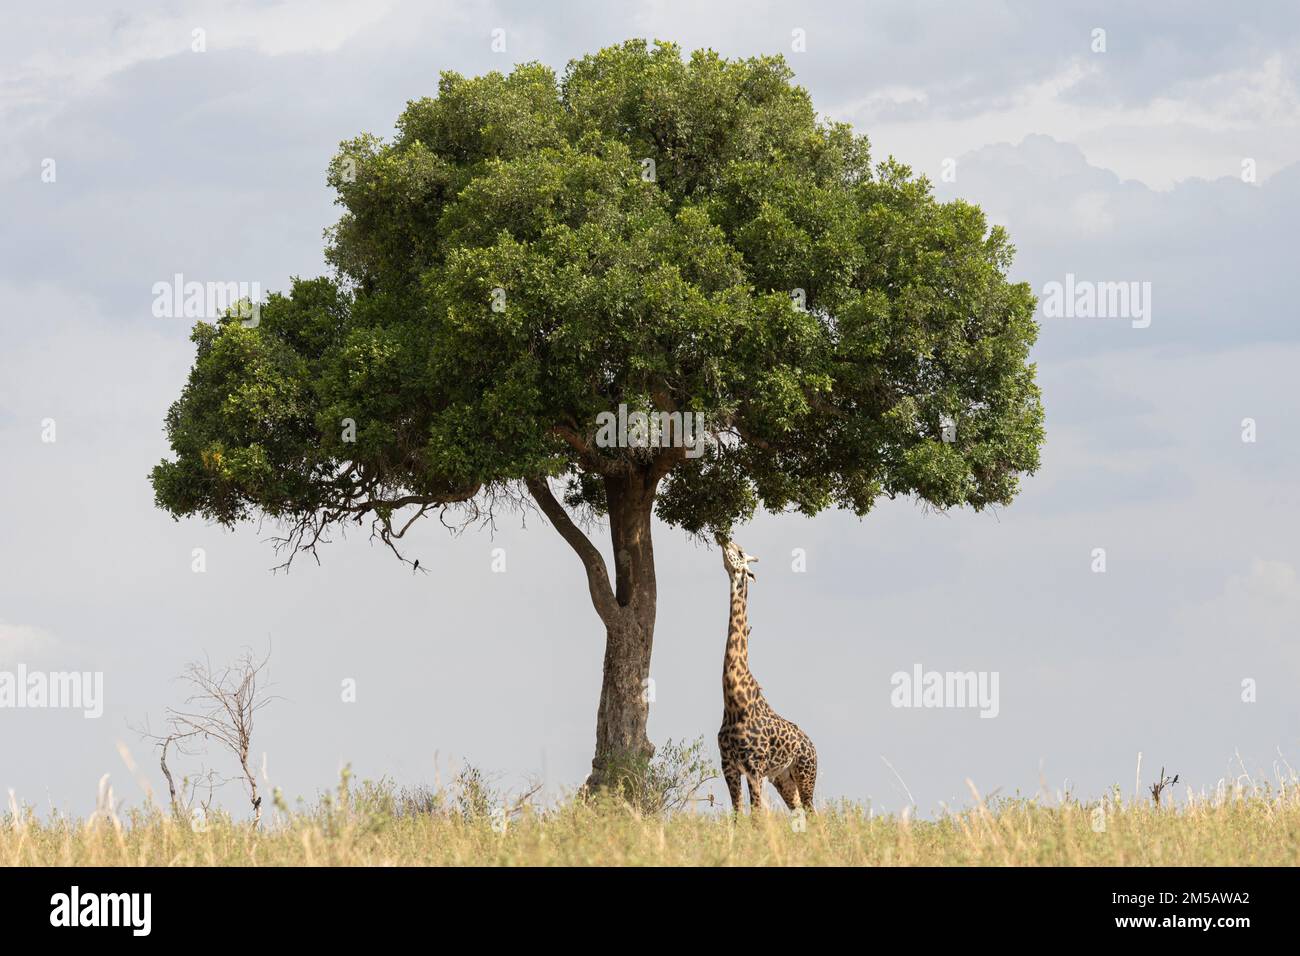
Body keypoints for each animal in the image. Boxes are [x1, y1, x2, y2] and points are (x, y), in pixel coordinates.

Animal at [716, 536, 817, 814]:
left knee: (813, 812)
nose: (723, 536)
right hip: (782, 778)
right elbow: (738, 815)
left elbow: (757, 815)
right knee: (798, 812)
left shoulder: (754, 767)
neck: (734, 701)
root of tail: (813, 746)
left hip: (805, 773)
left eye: (740, 552)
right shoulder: (728, 765)